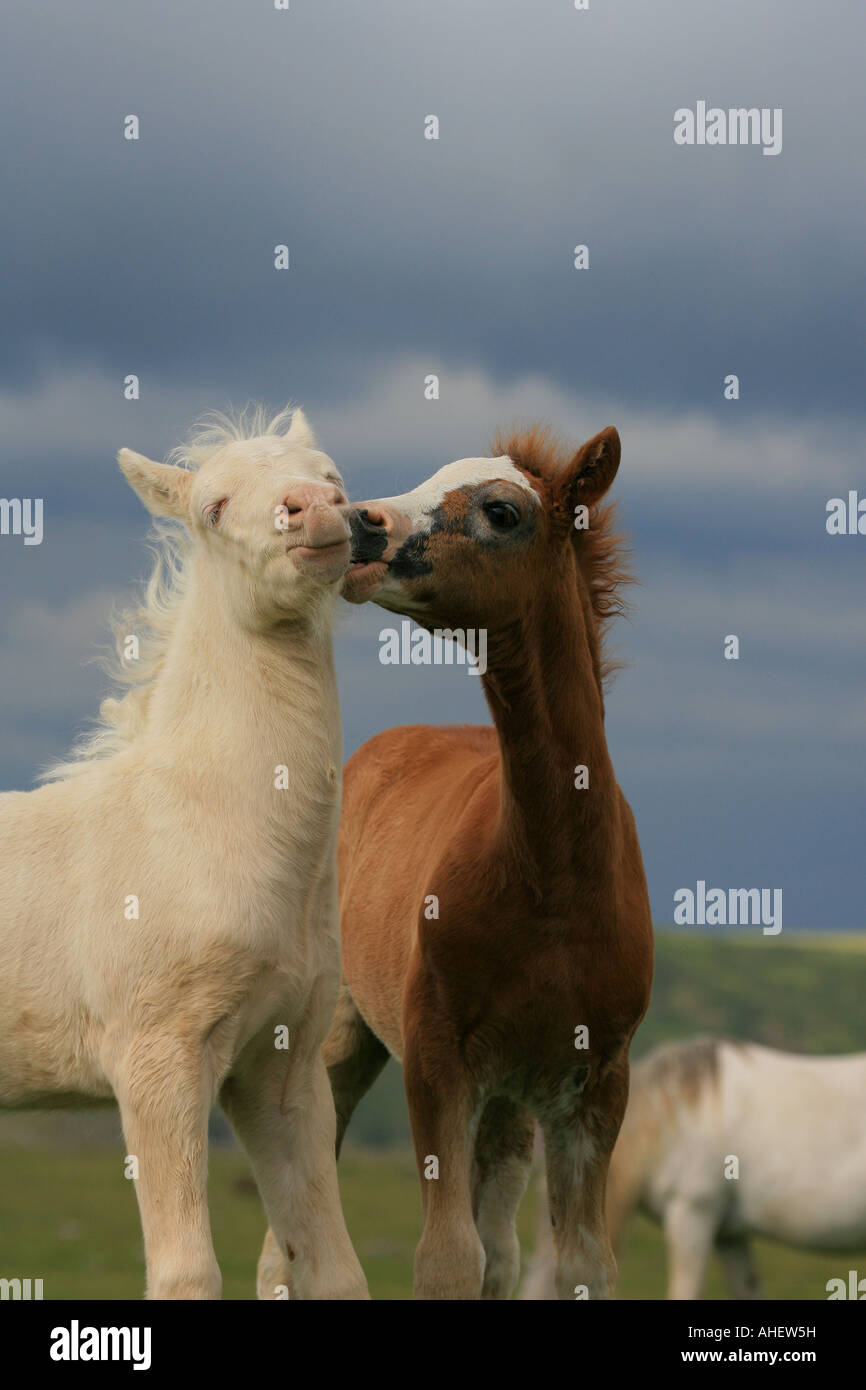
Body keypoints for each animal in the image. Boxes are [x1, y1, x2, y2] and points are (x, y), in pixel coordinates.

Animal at [0, 405, 369, 1300]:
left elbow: (332, 1269)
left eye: (334, 476)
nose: (316, 513)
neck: (200, 830)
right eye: (213, 506)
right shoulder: (156, 1058)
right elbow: (186, 1271)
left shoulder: (281, 1072)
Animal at [258, 423, 654, 1300]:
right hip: (340, 1039)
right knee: (284, 1249)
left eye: (501, 511)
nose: (360, 524)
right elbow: (446, 1258)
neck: (552, 879)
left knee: (501, 1249)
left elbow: (578, 1263)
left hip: (509, 1105)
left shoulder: (598, 1081)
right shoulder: (438, 1057)